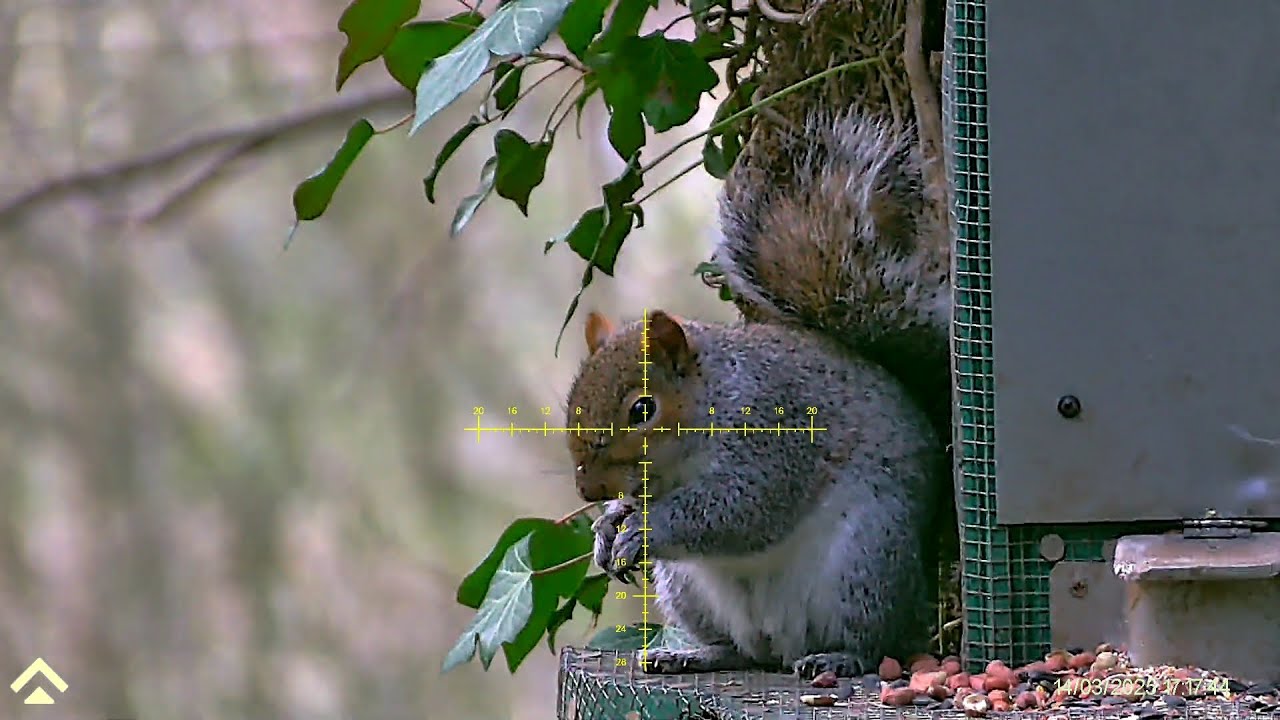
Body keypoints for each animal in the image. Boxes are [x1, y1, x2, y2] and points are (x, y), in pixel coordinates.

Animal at [564, 111, 952, 680]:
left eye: (642, 409)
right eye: (572, 401)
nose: (587, 489)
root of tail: (779, 643)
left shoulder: (772, 433)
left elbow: (740, 506)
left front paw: (644, 528)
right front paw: (607, 528)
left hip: (865, 561)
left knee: (875, 638)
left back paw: (839, 656)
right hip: (687, 590)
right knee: (738, 650)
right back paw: (693, 653)